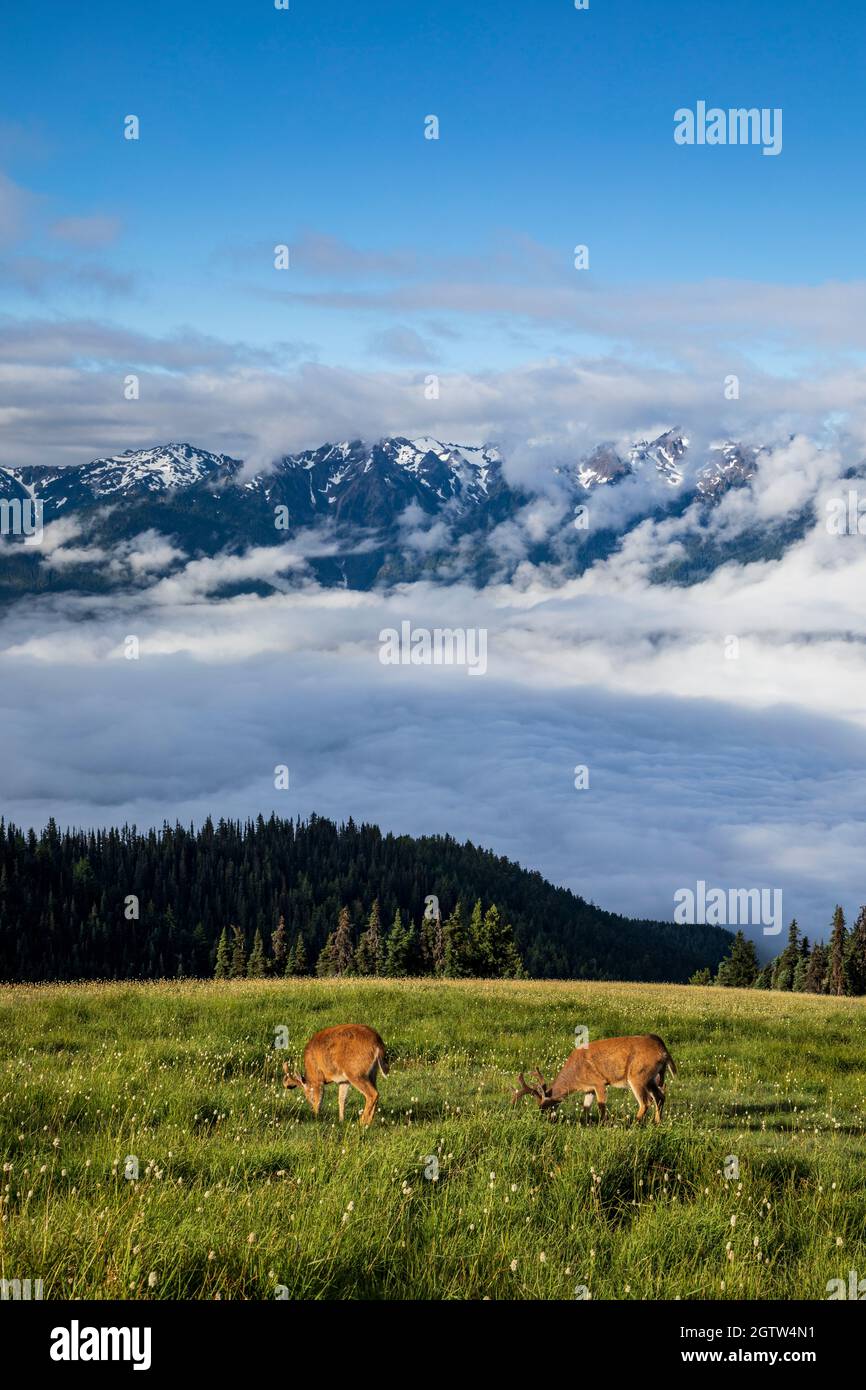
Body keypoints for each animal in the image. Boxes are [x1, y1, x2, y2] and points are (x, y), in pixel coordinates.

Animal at [512, 1033, 677, 1124]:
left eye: (545, 1108)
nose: (546, 1120)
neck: (575, 1075)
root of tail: (662, 1049)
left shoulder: (599, 1082)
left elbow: (601, 1106)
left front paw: (603, 1124)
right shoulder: (589, 1088)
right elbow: (586, 1107)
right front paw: (584, 1123)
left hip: (638, 1076)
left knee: (646, 1102)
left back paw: (634, 1124)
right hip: (651, 1079)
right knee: (660, 1096)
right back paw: (657, 1122)